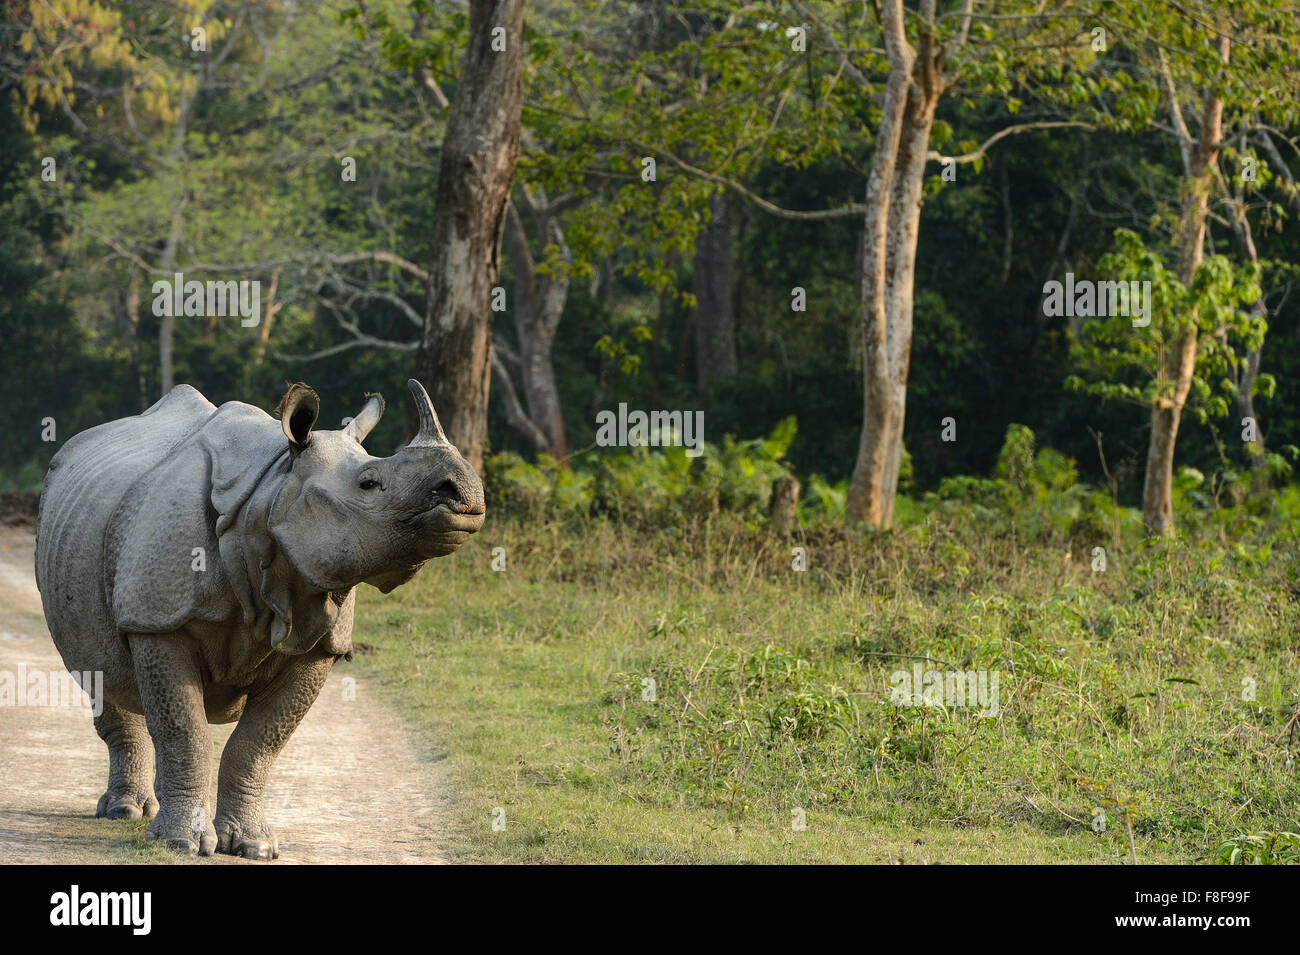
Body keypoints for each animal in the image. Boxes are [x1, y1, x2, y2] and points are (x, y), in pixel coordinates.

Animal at [34, 379, 484, 858]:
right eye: (369, 484)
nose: (462, 493)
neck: (272, 492)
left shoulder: (320, 645)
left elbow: (258, 744)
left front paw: (253, 846)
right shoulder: (159, 617)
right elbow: (184, 732)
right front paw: (181, 843)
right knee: (99, 672)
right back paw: (126, 812)